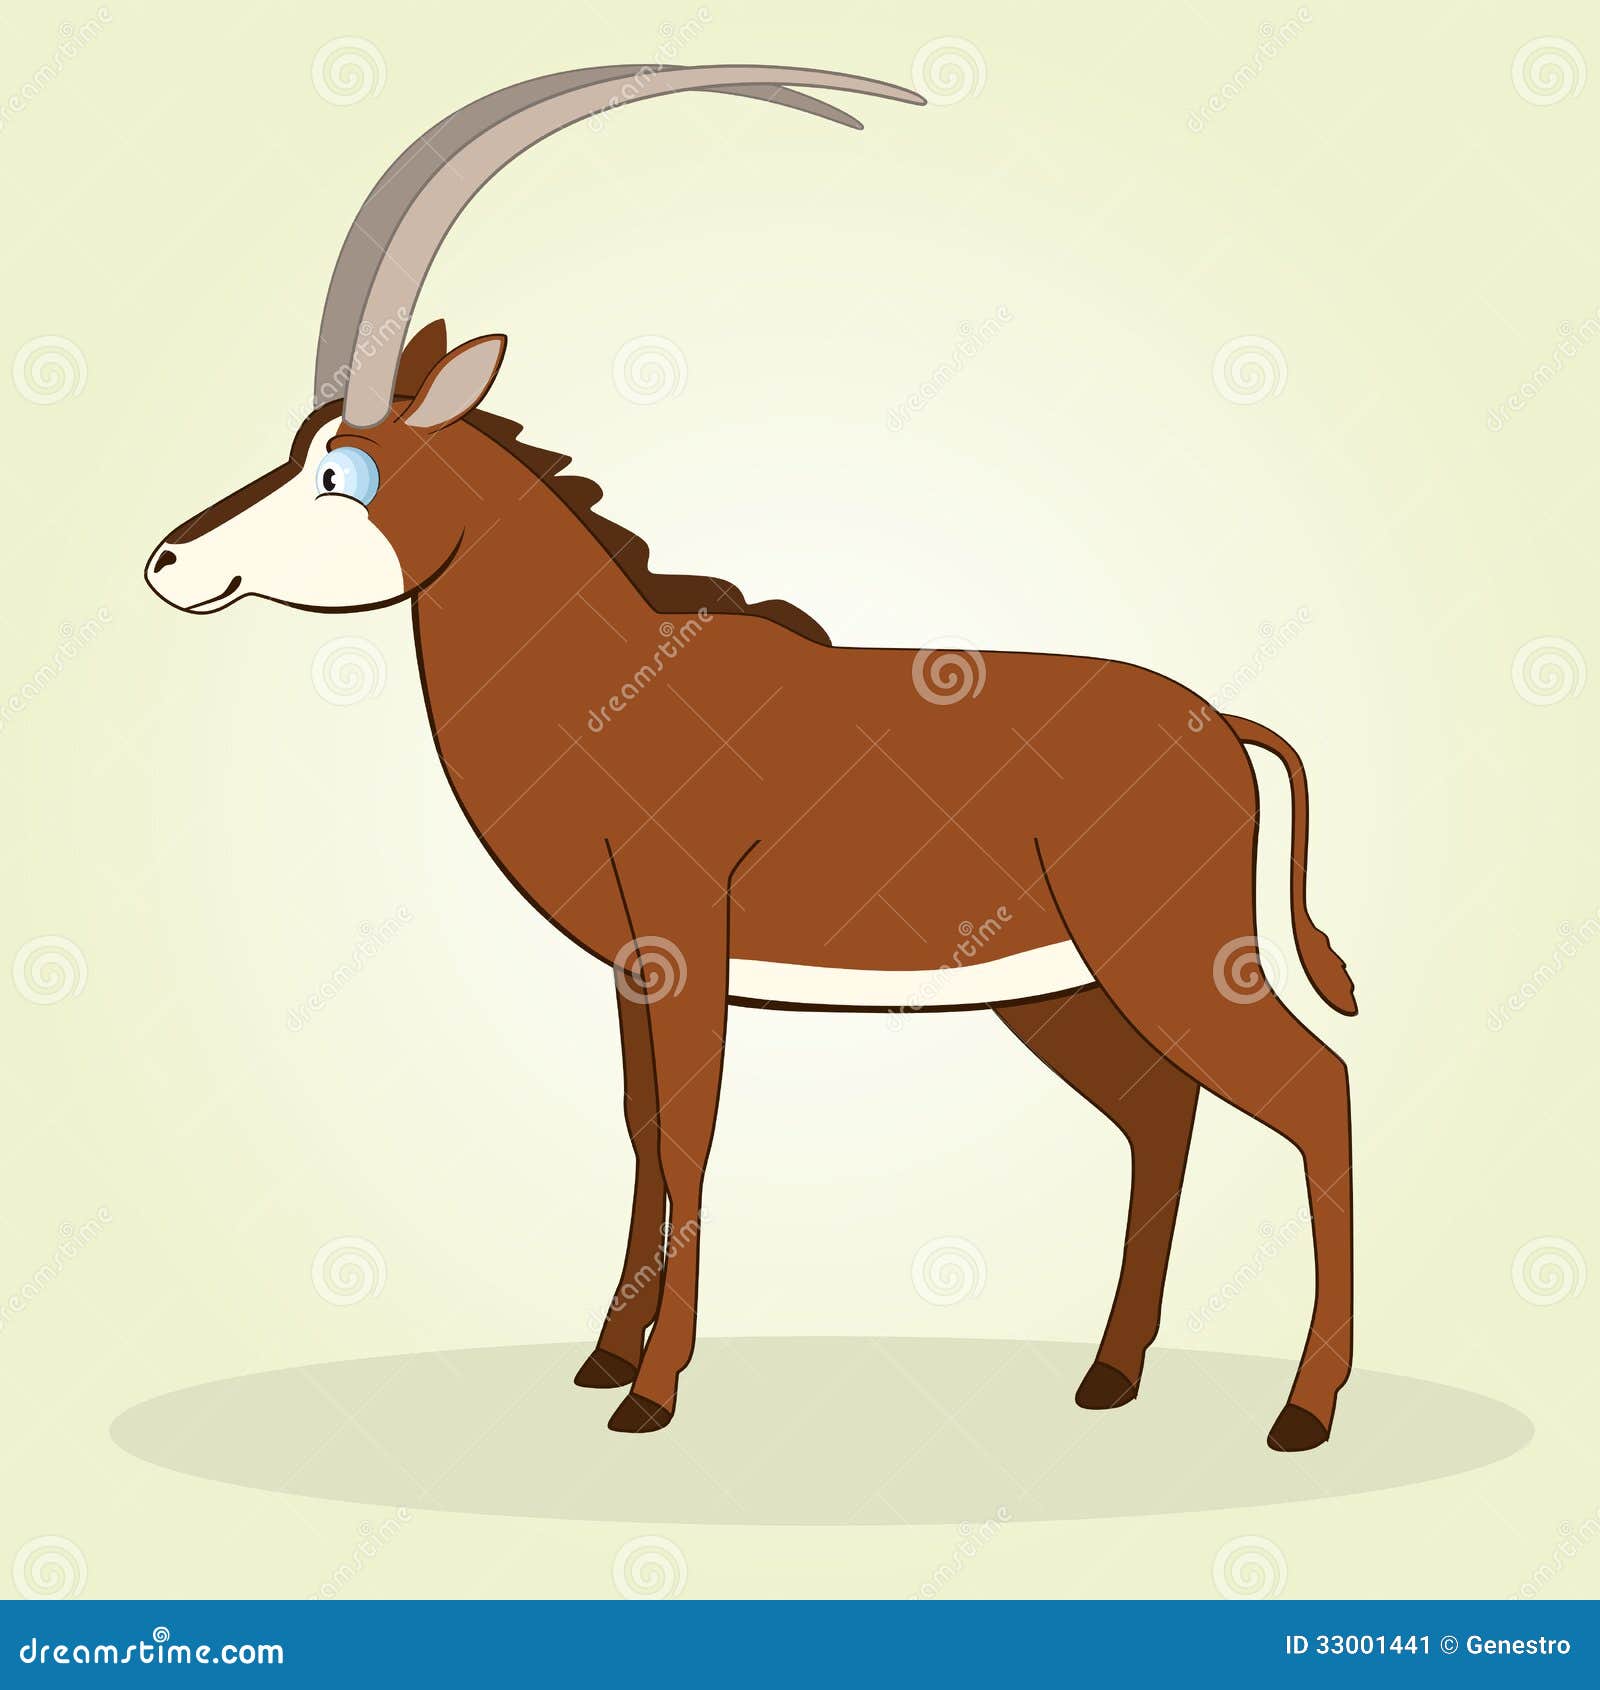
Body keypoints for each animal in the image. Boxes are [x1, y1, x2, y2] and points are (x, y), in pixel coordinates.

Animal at [144, 64, 1357, 1451]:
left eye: (345, 468)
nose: (171, 561)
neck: (612, 683)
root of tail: (1222, 727)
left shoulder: (686, 942)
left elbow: (693, 1139)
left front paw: (654, 1394)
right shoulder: (633, 967)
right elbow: (640, 1129)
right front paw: (602, 1359)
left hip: (1171, 961)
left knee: (1315, 1090)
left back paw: (1301, 1410)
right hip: (1063, 991)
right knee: (1163, 1114)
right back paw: (1109, 1375)